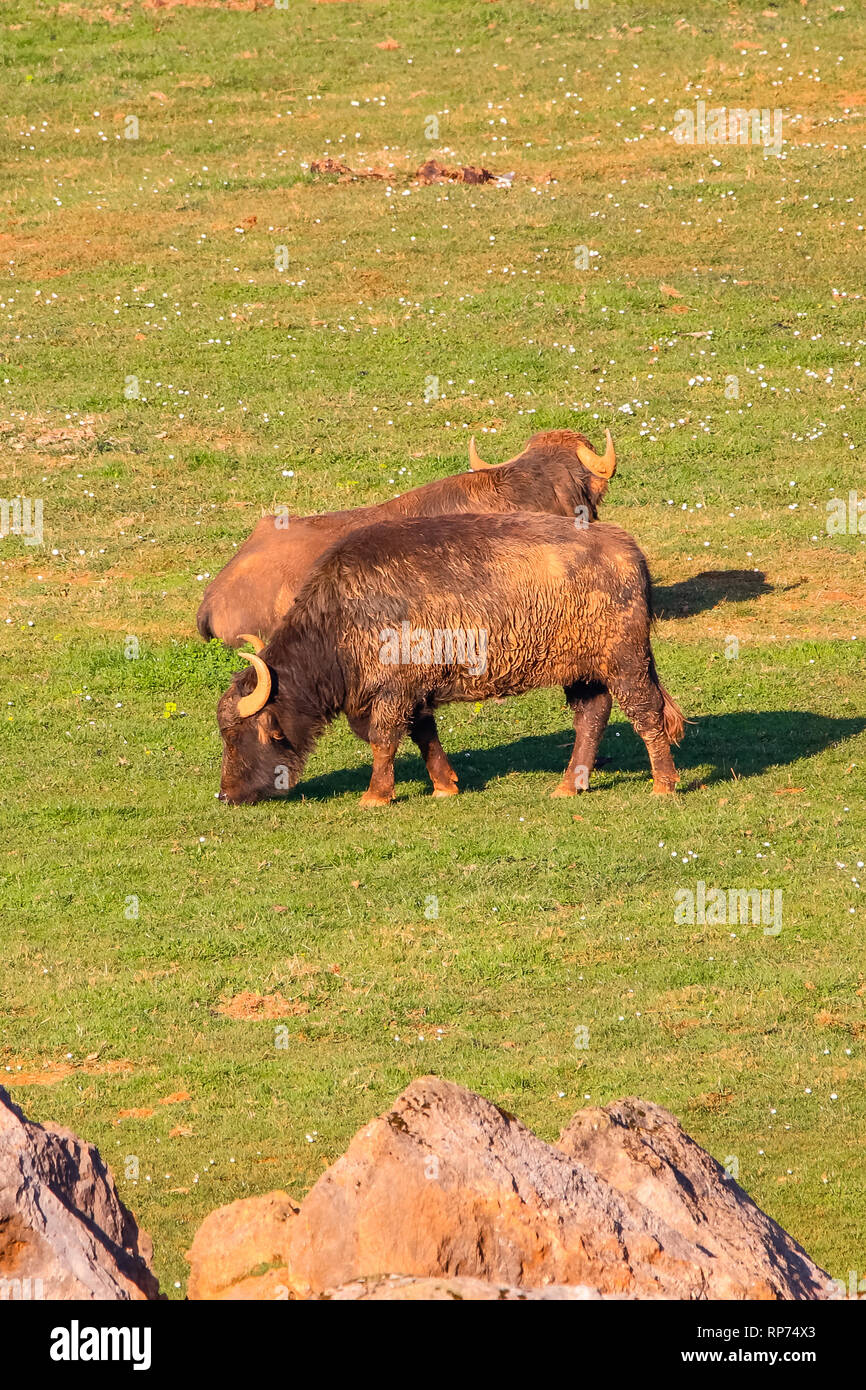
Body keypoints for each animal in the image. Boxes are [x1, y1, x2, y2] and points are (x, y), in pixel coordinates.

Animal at [216, 511, 683, 807]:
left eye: (237, 735)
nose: (226, 794)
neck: (339, 618)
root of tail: (629, 551)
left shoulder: (392, 694)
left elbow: (385, 740)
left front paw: (374, 796)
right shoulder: (415, 696)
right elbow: (425, 736)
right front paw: (445, 786)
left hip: (626, 666)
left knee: (646, 713)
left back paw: (663, 785)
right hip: (585, 674)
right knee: (592, 716)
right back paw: (568, 786)